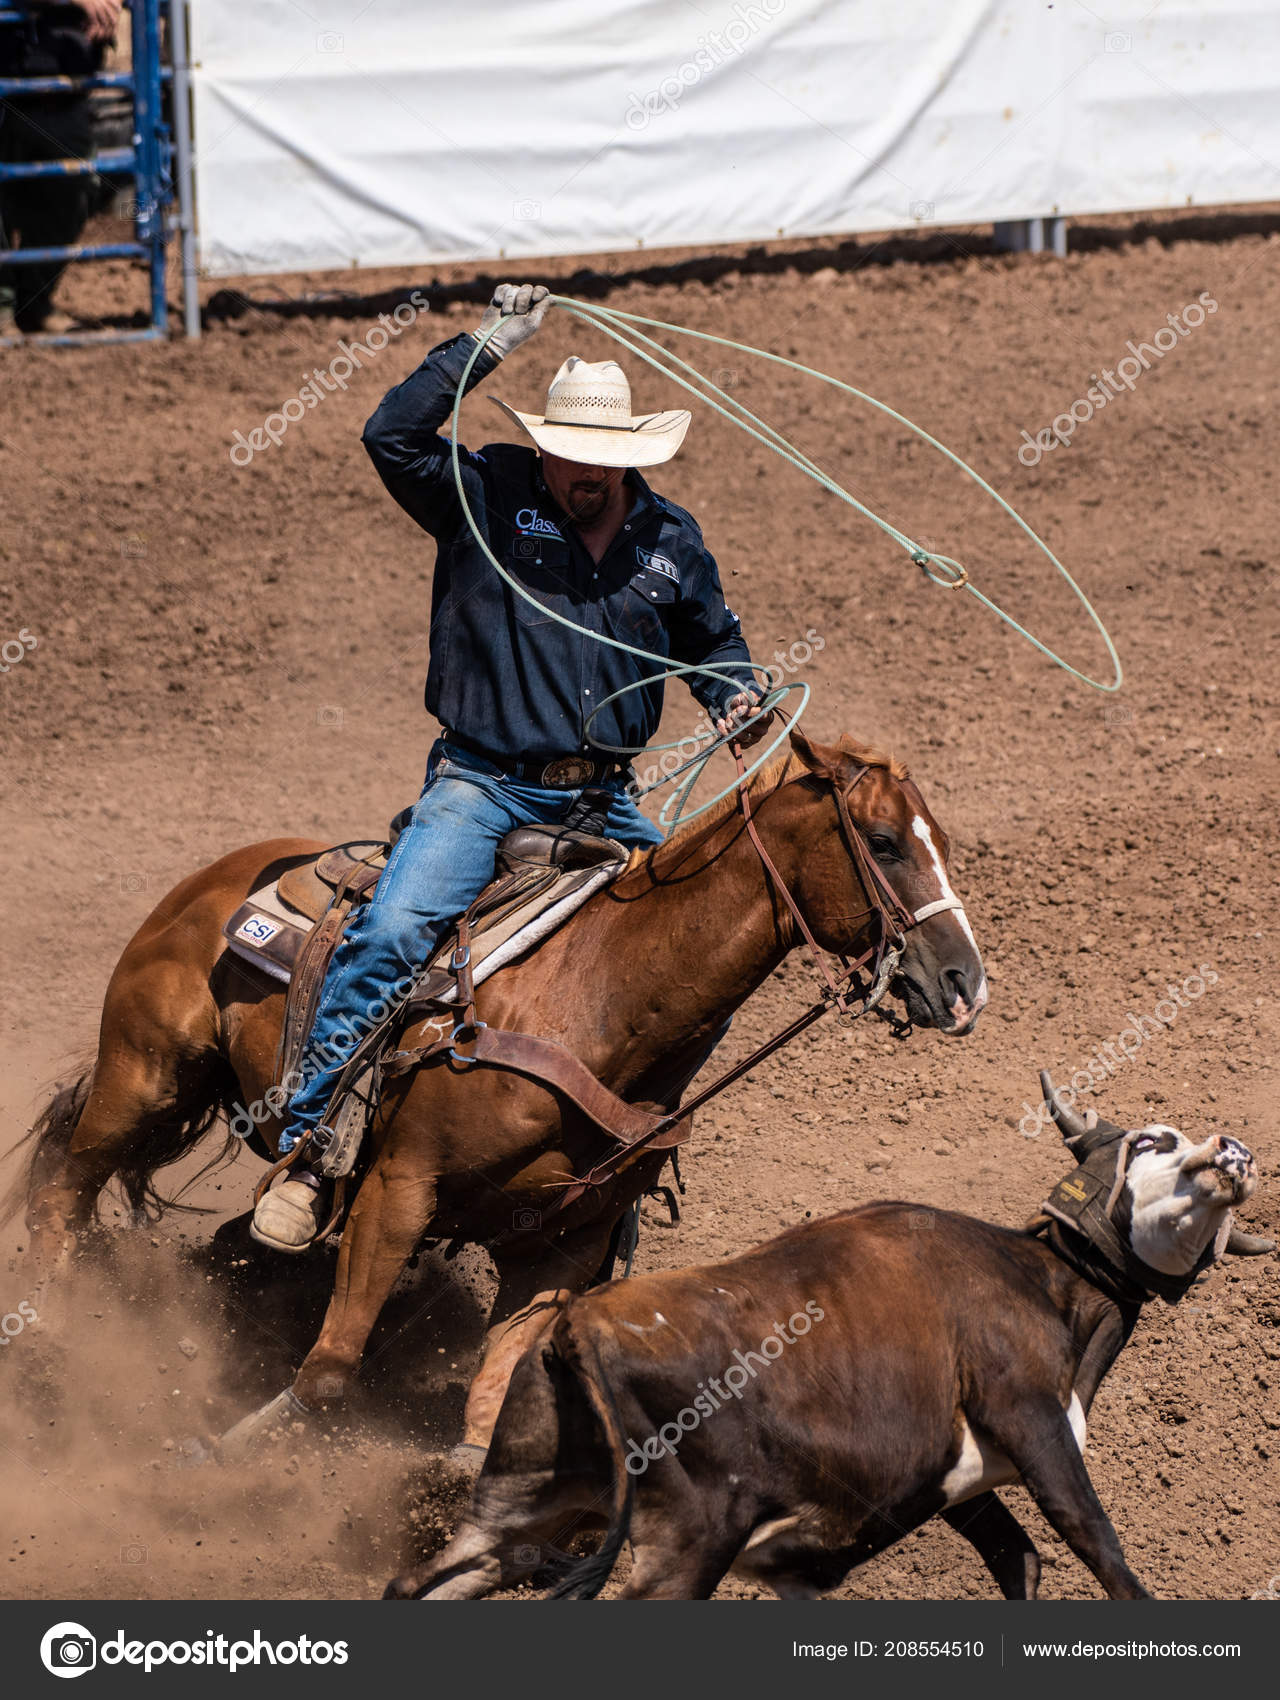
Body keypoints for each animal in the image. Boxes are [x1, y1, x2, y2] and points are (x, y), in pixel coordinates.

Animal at [6, 728, 987, 1454]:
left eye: (942, 843)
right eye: (886, 843)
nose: (966, 985)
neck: (597, 1005)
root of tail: (218, 877)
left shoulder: (560, 1245)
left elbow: (490, 1406)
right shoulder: (397, 1190)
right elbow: (328, 1373)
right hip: (146, 1076)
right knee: (64, 1190)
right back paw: (51, 1350)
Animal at [384, 1073, 1270, 1602]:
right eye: (1152, 1140)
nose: (1235, 1150)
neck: (1043, 1281)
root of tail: (579, 1324)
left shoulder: (957, 1477)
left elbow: (1017, 1557)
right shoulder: (1031, 1421)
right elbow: (1097, 1546)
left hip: (517, 1506)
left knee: (423, 1583)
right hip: (689, 1536)